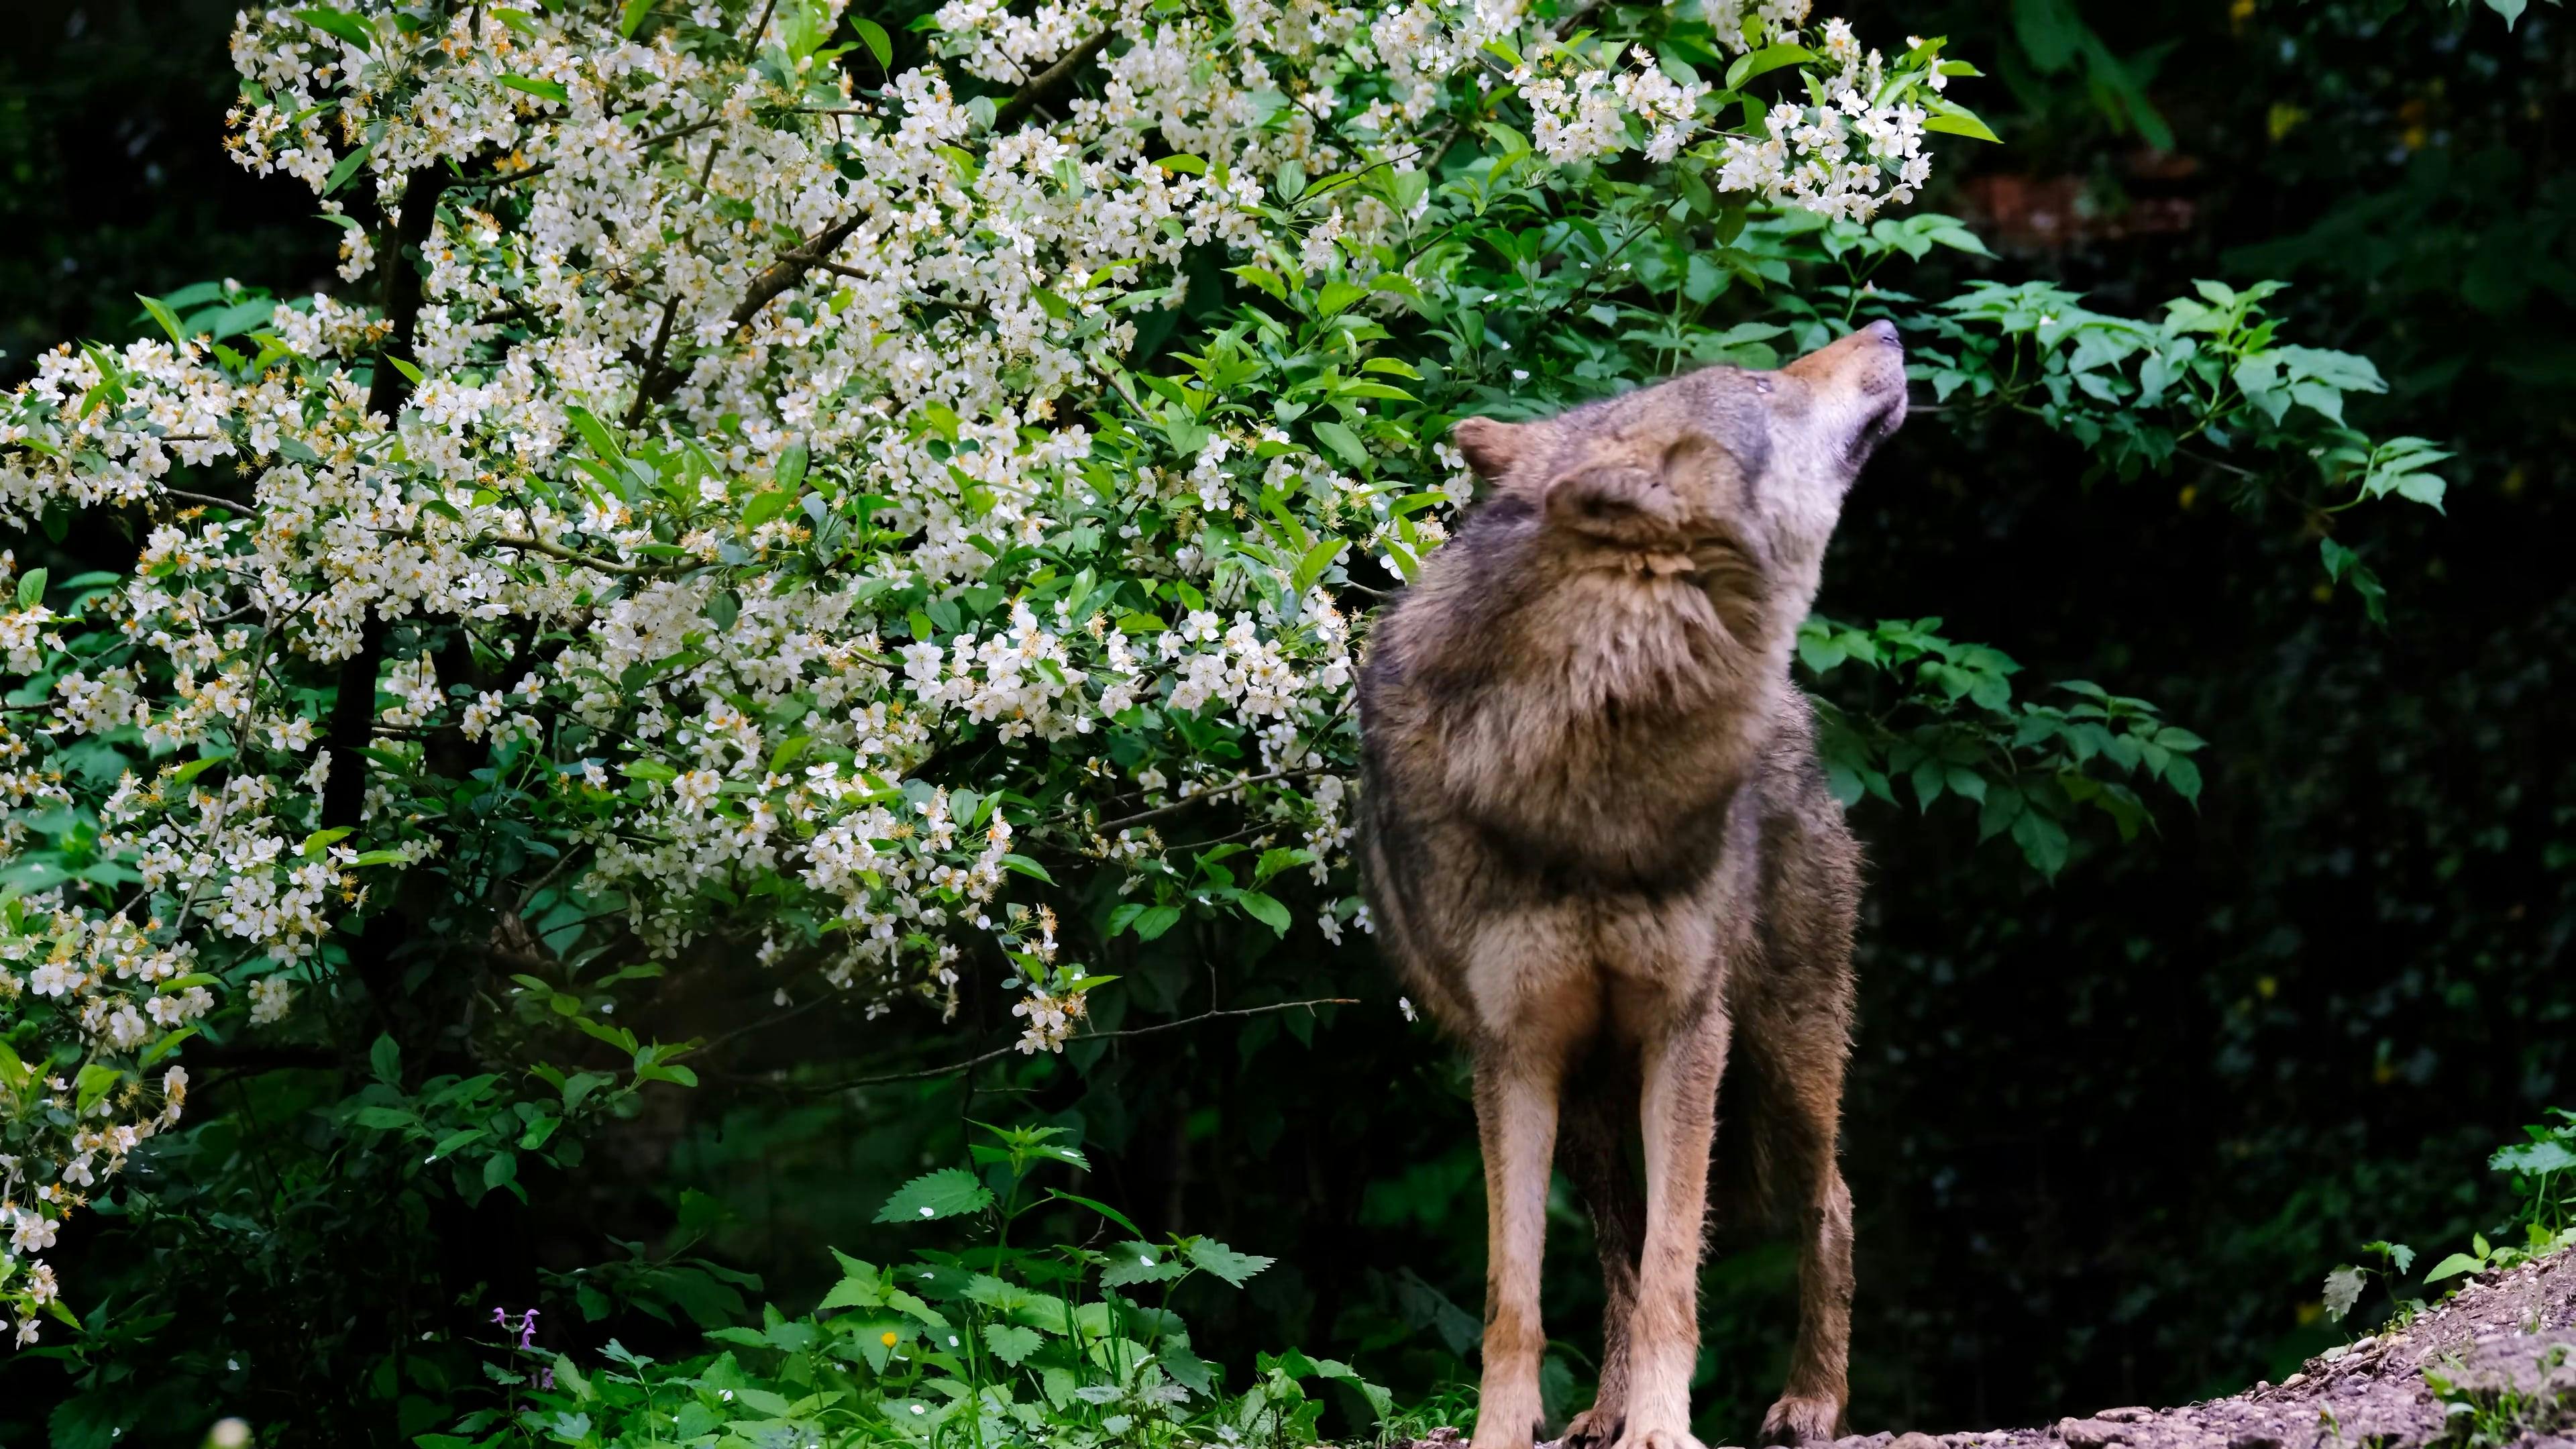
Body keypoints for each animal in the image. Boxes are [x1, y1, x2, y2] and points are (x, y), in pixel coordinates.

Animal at [1357, 321, 1907, 1449]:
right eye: (1760, 386)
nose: (1885, 328)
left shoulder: (1686, 1028)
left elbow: (1672, 1277)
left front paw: (1665, 1427)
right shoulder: (1515, 1056)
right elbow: (1514, 1294)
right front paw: (1507, 1432)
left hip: (1785, 1056)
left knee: (1828, 1204)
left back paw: (1812, 1401)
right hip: (1592, 1104)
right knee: (1620, 1241)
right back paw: (1601, 1413)